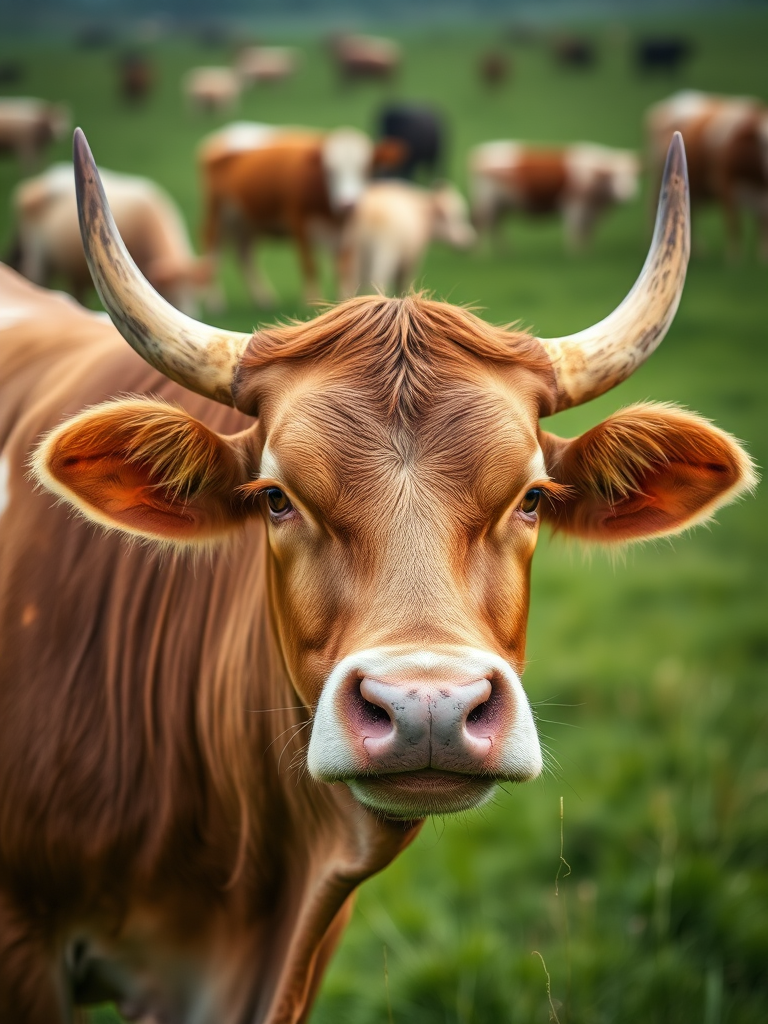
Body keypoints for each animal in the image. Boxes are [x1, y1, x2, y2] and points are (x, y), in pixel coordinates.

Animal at [198, 122, 405, 306]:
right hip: (217, 215)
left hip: (245, 222)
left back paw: (263, 298)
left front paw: (344, 301)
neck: (330, 213)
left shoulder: (345, 231)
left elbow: (342, 269)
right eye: (330, 170)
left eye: (366, 169)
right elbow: (310, 266)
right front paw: (312, 302)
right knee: (213, 252)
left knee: (244, 257)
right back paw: (215, 301)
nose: (347, 203)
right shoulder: (299, 223)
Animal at [469, 140, 640, 251]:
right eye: (613, 176)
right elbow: (575, 232)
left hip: (500, 205)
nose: (627, 195)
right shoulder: (574, 205)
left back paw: (504, 251)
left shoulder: (592, 212)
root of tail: (481, 153)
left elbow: (587, 232)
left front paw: (587, 254)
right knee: (482, 224)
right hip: (488, 202)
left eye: (633, 176)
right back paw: (482, 255)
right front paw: (576, 255)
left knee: (496, 226)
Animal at [646, 90, 768, 260]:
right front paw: (734, 259)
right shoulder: (725, 185)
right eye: (763, 143)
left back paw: (697, 250)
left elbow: (762, 226)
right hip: (659, 176)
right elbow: (734, 224)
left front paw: (762, 257)